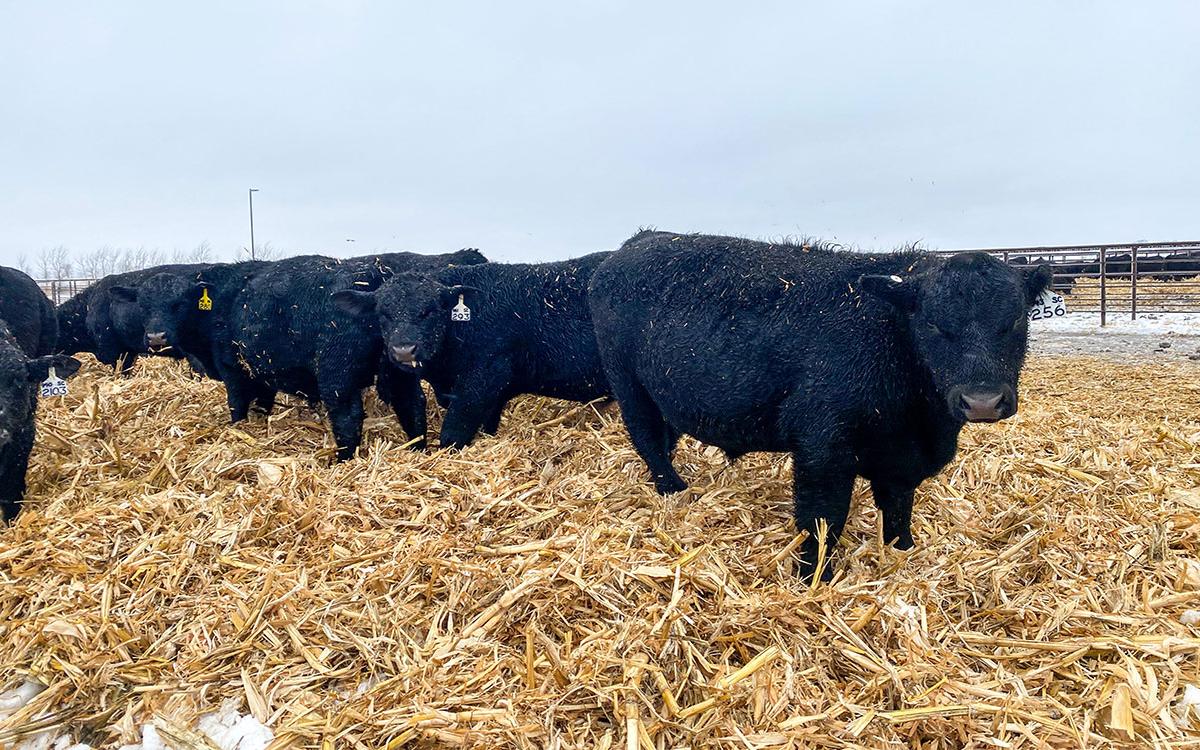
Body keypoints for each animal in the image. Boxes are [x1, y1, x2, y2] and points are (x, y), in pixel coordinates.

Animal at [587, 231, 1052, 581]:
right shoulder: (822, 447)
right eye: (934, 324)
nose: (982, 401)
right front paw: (814, 578)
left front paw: (901, 550)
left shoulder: (900, 456)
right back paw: (673, 490)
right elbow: (822, 518)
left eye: (1015, 319)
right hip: (631, 388)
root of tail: (639, 241)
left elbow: (898, 508)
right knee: (649, 442)